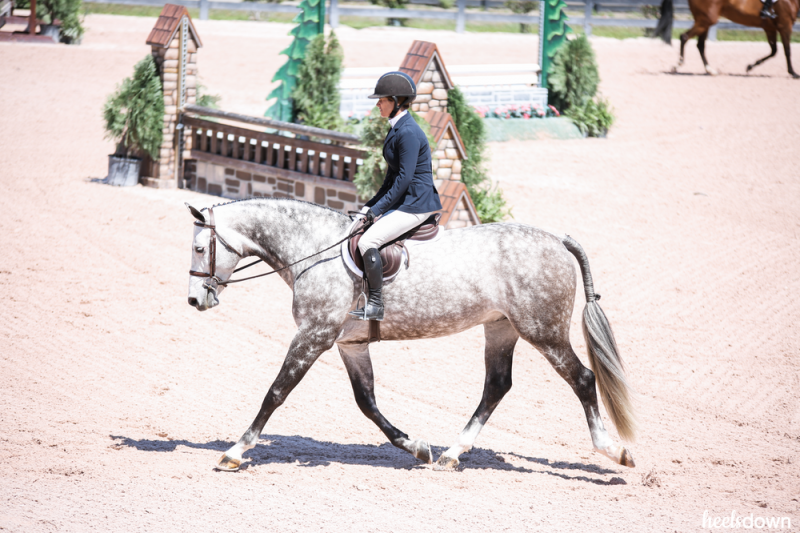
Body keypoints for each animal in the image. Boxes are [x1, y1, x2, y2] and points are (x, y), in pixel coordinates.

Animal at [185, 198, 638, 472]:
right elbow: (366, 402)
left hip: (542, 330)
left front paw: (234, 451)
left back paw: (614, 450)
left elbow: (276, 392)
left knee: (582, 379)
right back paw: (451, 454)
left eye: (198, 249)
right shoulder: (349, 344)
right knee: (497, 385)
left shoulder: (313, 335)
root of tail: (556, 240)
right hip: (501, 327)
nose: (194, 300)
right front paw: (416, 446)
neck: (313, 250)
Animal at [660, 0, 799, 77]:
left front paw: (750, 66)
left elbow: (774, 51)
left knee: (700, 45)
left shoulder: (770, 29)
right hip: (706, 20)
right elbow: (787, 51)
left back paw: (710, 70)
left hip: (705, 22)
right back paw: (678, 65)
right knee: (685, 37)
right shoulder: (785, 26)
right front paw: (793, 73)